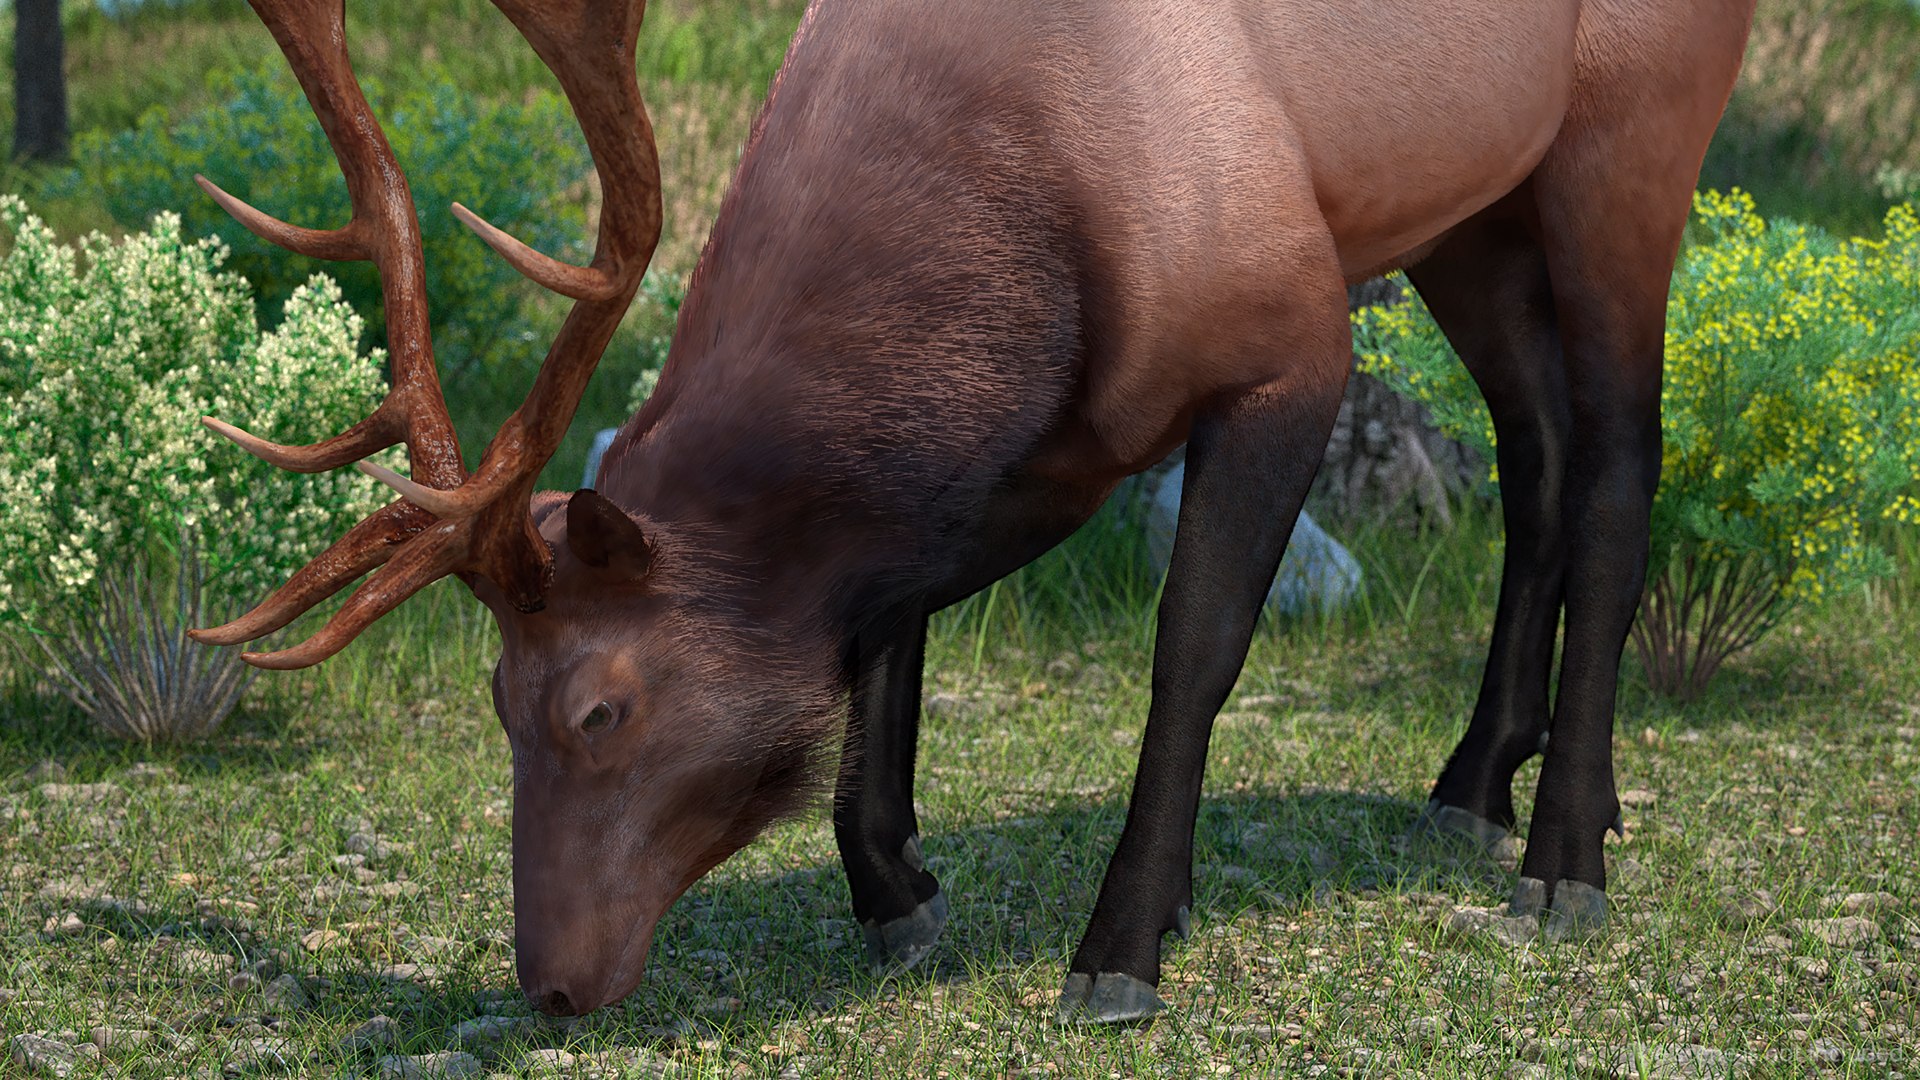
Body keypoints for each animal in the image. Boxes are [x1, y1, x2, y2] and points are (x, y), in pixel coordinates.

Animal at [191, 0, 1758, 1023]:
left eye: (599, 707)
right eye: (494, 704)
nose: (553, 985)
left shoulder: (1289, 335)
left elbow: (1192, 647)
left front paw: (1122, 944)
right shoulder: (1045, 438)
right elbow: (887, 621)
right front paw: (896, 887)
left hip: (1633, 134)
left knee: (1620, 462)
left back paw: (1563, 856)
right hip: (1472, 212)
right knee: (1536, 449)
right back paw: (1480, 780)